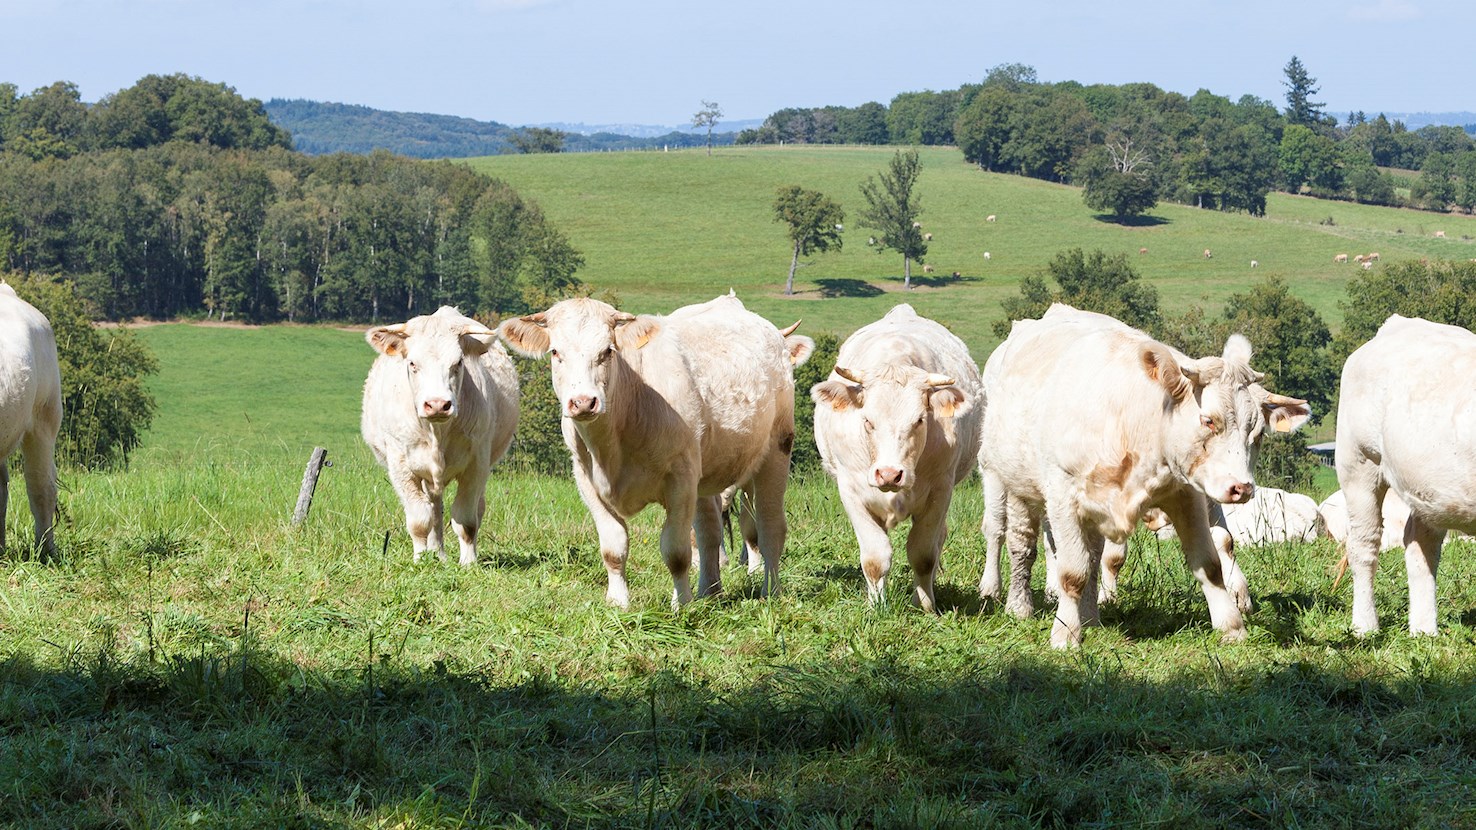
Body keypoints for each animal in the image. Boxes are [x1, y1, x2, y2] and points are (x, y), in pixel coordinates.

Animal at [362, 307, 519, 566]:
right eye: (412, 363)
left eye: (458, 363)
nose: (437, 404)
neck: (436, 432)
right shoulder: (400, 465)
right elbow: (419, 520)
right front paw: (419, 559)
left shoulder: (477, 463)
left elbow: (466, 520)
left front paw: (469, 563)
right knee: (435, 510)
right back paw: (437, 554)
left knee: (476, 508)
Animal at [499, 294, 797, 610]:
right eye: (555, 352)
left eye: (607, 351)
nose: (583, 402)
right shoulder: (586, 479)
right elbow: (613, 548)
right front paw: (618, 603)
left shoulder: (681, 479)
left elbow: (677, 552)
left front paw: (682, 605)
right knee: (709, 531)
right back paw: (709, 591)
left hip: (776, 449)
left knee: (769, 527)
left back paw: (770, 591)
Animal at [812, 304, 983, 611]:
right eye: (867, 420)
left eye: (919, 420)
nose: (889, 474)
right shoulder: (851, 490)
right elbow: (874, 558)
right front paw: (876, 606)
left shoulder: (941, 490)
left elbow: (924, 554)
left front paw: (925, 605)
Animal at [978, 304, 1310, 646]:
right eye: (1208, 420)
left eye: (1257, 432)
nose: (1241, 488)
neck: (1131, 418)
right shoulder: (1063, 496)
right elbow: (1072, 572)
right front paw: (1066, 634)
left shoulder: (1187, 495)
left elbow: (1209, 563)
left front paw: (1232, 627)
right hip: (1007, 481)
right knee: (1018, 541)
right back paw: (1017, 604)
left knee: (1092, 555)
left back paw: (1091, 617)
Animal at [1335, 314, 1476, 636]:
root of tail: (1399, 323)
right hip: (1358, 462)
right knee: (1364, 544)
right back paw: (1365, 626)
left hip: (1428, 486)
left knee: (1420, 545)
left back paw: (1424, 629)